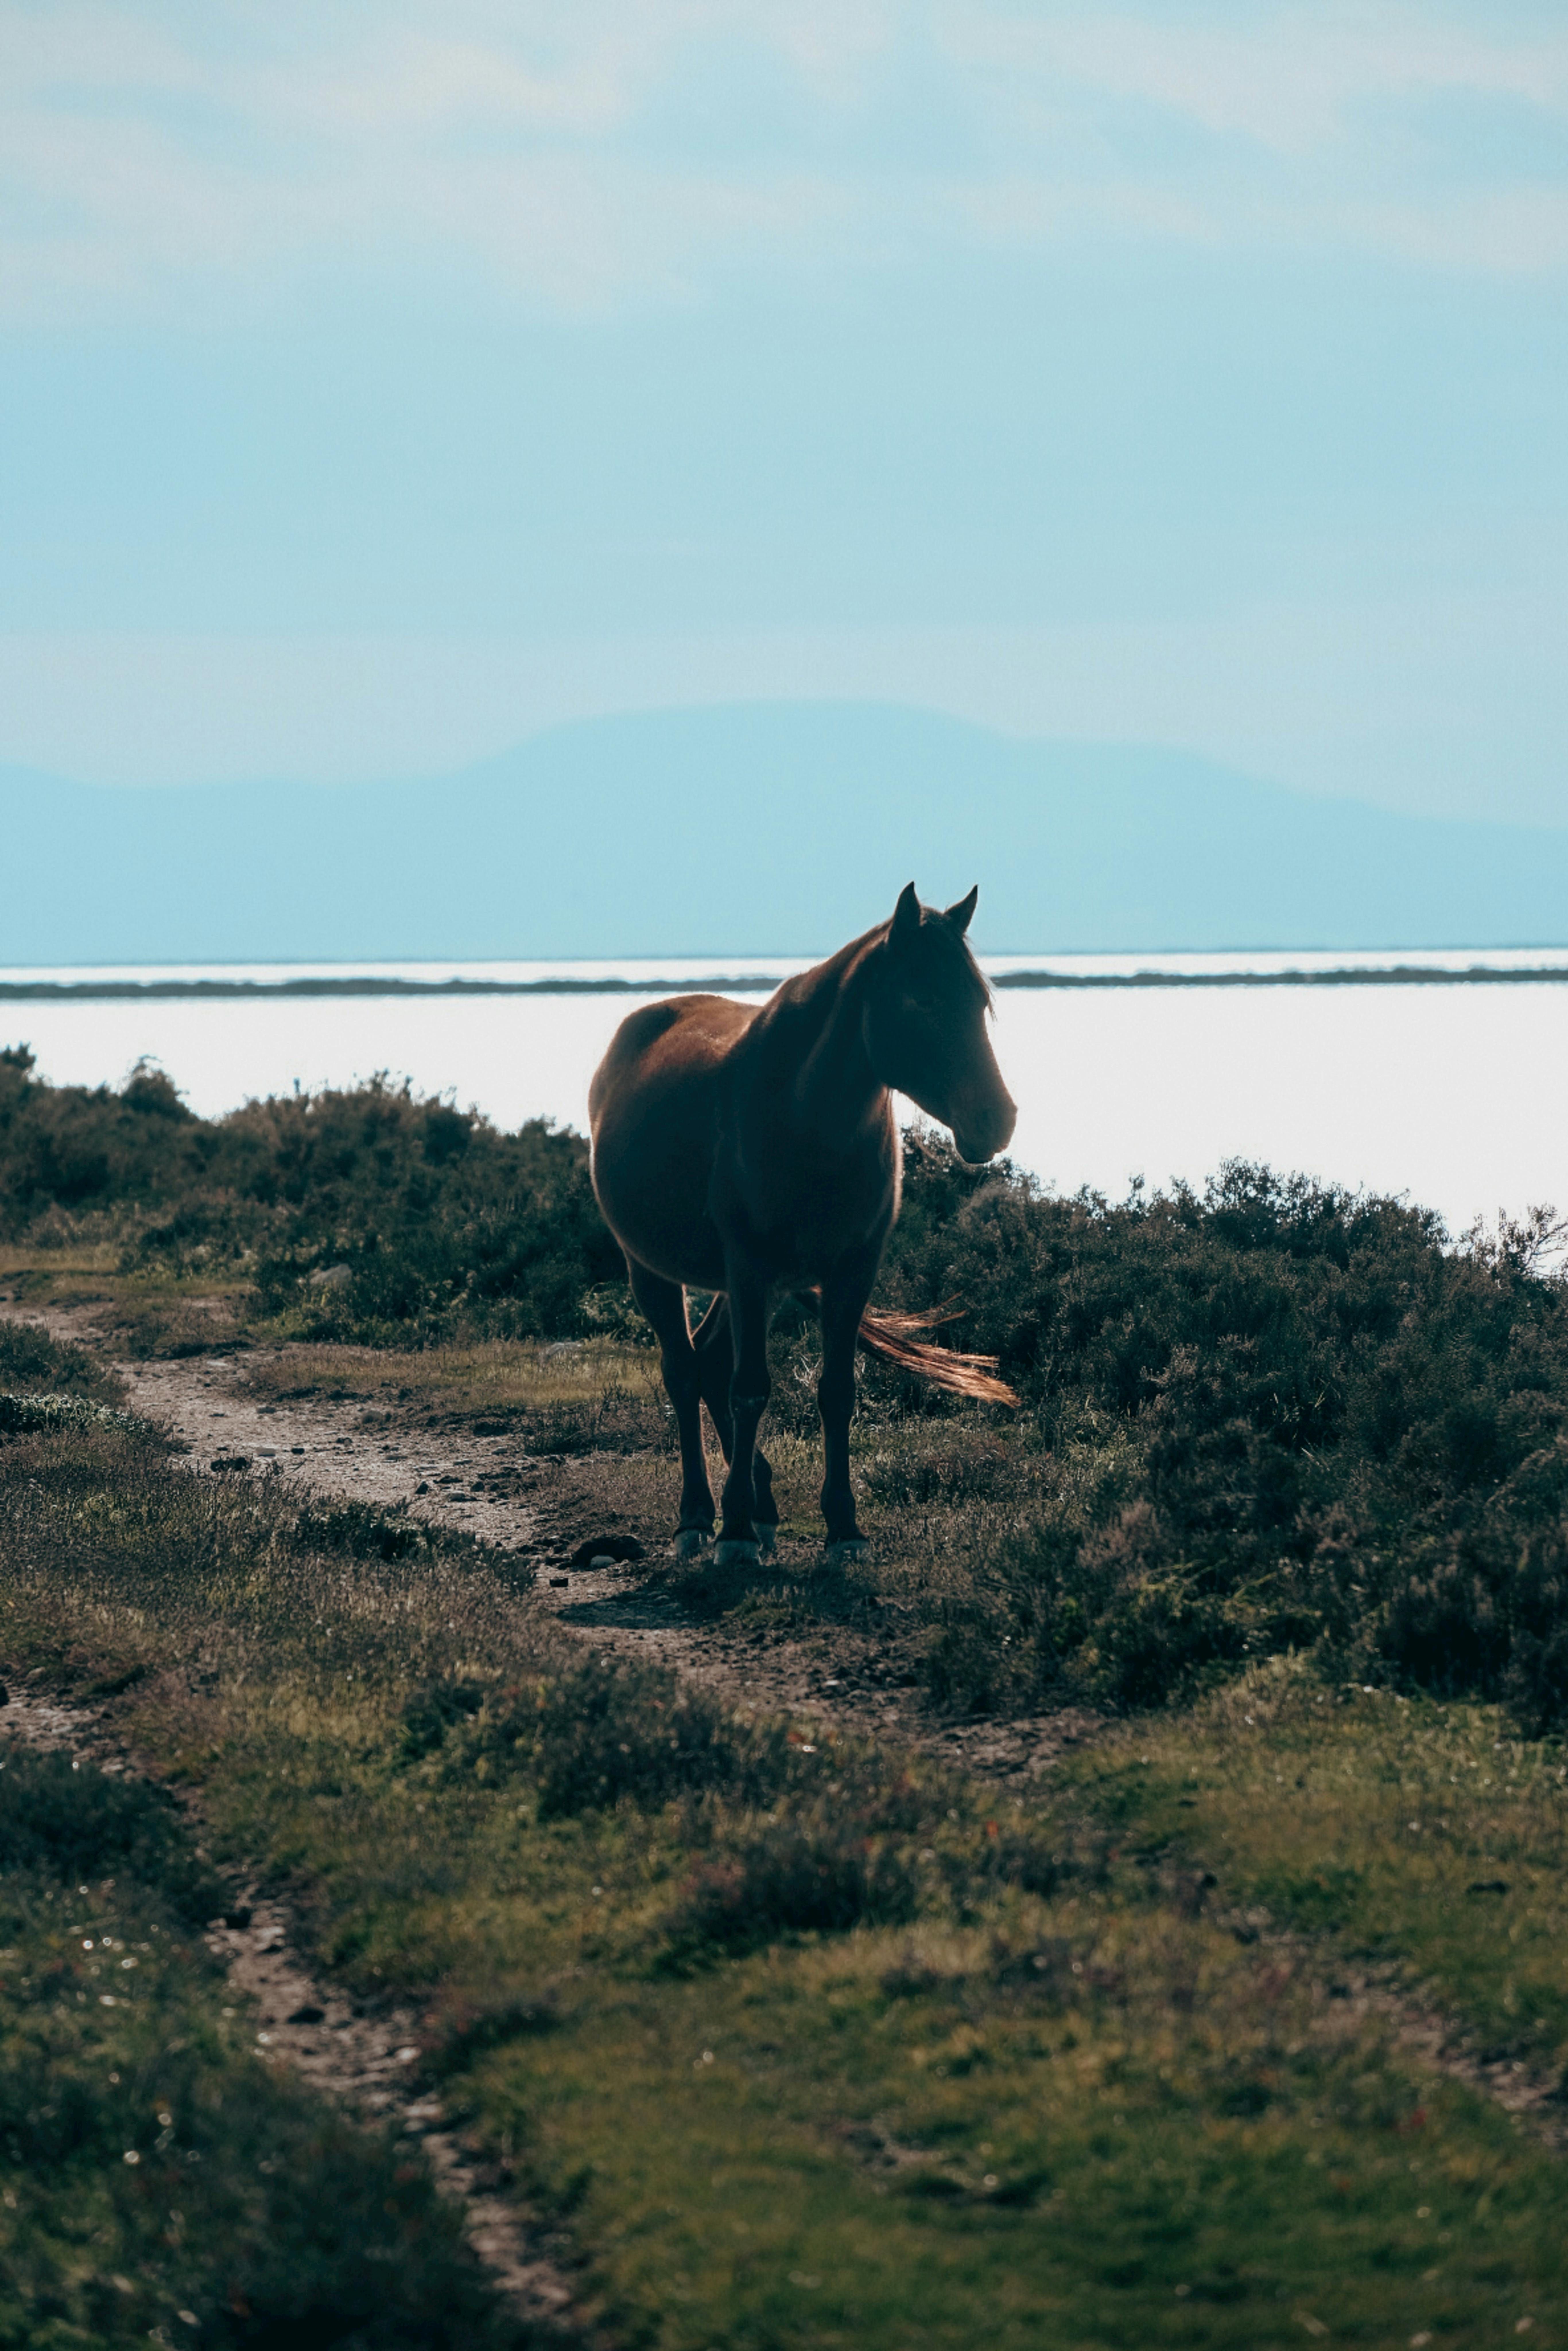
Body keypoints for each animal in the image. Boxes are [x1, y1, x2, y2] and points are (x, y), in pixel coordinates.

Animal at [588, 883, 1019, 1566]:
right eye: (921, 998)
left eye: (978, 1002)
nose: (995, 1120)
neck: (802, 1113)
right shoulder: (748, 1265)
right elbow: (750, 1390)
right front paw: (734, 1532)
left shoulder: (849, 1270)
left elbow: (835, 1391)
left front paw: (842, 1529)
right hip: (655, 1270)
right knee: (684, 1373)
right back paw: (698, 1518)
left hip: (754, 1286)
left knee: (709, 1361)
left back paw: (760, 1506)